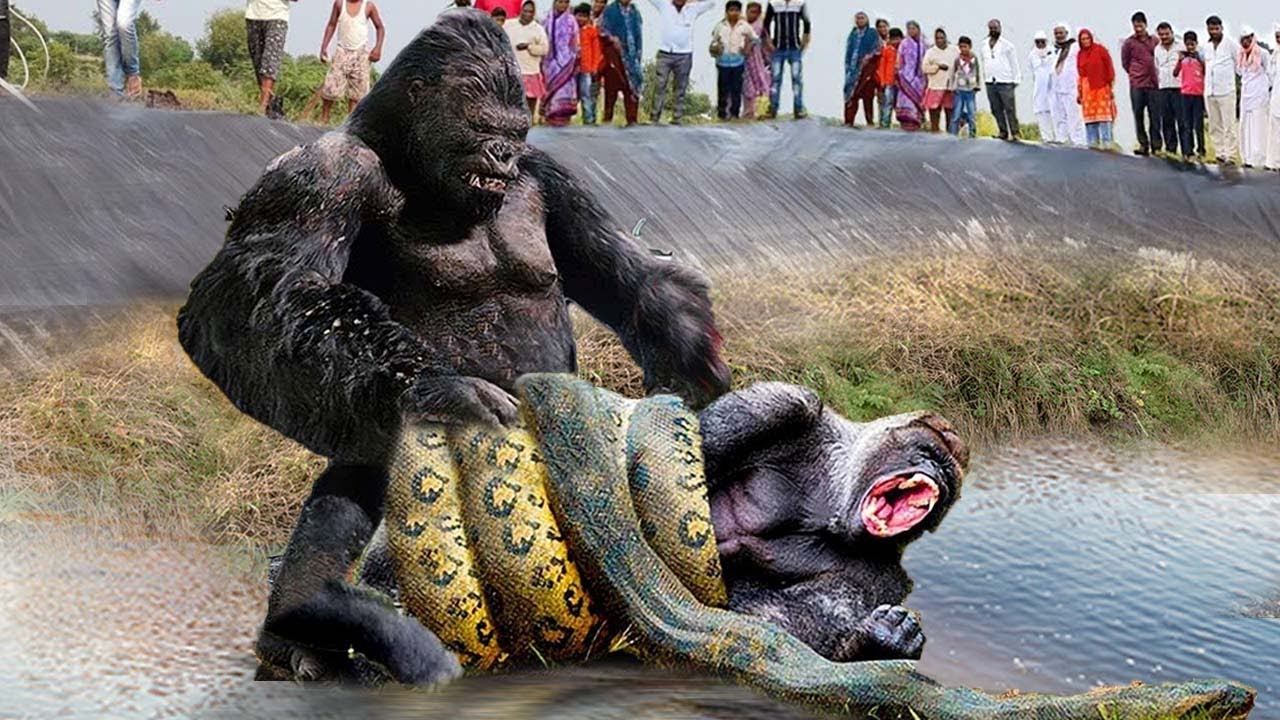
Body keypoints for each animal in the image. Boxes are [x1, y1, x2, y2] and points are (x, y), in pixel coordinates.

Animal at [176, 9, 730, 684]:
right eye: (482, 127)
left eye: (514, 132)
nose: (501, 153)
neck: (410, 163)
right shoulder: (322, 174)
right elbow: (254, 295)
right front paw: (445, 391)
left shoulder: (553, 178)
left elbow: (622, 273)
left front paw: (690, 357)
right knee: (366, 449)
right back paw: (302, 622)